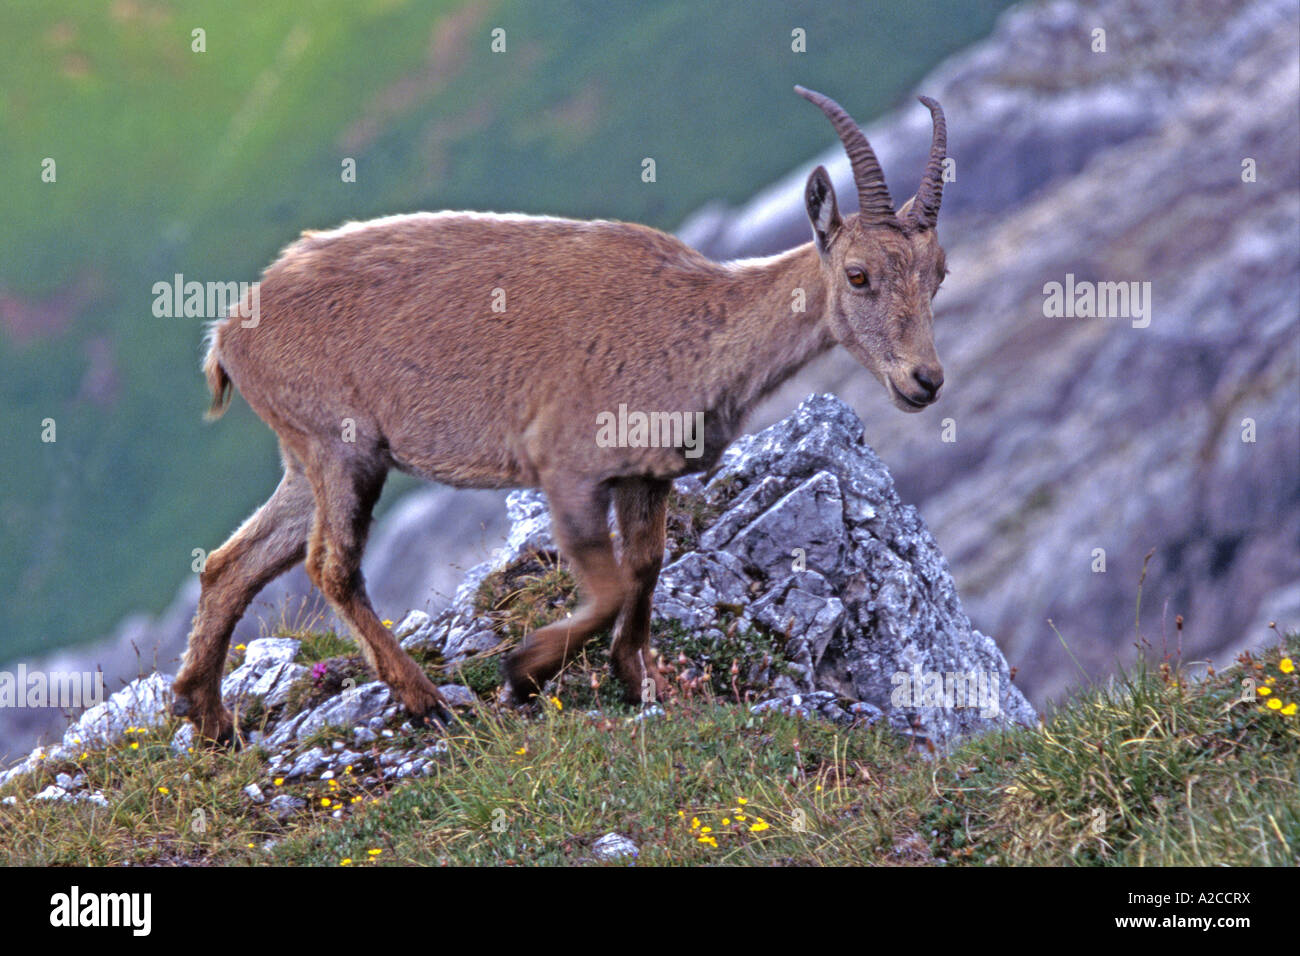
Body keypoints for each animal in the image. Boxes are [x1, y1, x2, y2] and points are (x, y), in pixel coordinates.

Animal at [171, 86, 950, 743]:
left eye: (938, 274)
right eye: (858, 275)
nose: (925, 381)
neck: (698, 329)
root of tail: (229, 331)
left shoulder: (647, 475)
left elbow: (645, 568)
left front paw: (636, 680)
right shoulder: (567, 467)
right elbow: (607, 588)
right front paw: (524, 672)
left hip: (307, 454)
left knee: (232, 564)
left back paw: (207, 717)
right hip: (343, 445)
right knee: (329, 565)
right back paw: (425, 700)